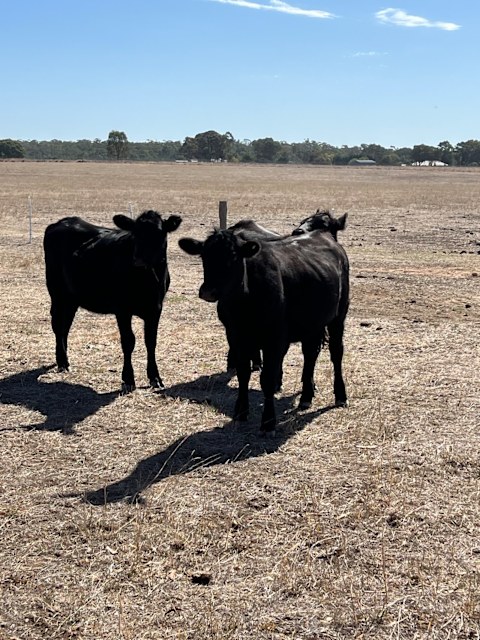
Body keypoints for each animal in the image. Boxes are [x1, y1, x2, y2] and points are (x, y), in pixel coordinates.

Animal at [43, 210, 182, 392]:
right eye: (135, 233)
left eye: (159, 233)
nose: (138, 260)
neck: (146, 280)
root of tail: (61, 222)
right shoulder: (122, 309)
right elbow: (128, 341)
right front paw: (128, 379)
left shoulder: (155, 308)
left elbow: (151, 341)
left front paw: (155, 378)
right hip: (57, 292)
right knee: (58, 325)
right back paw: (63, 362)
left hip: (72, 297)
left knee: (65, 326)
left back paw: (63, 359)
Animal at [179, 227, 349, 432]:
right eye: (203, 255)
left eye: (233, 256)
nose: (208, 291)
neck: (244, 304)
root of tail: (323, 234)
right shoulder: (235, 336)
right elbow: (243, 373)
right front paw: (241, 411)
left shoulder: (275, 339)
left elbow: (267, 379)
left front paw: (268, 421)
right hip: (312, 322)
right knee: (310, 355)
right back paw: (306, 397)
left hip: (339, 315)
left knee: (336, 353)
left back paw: (340, 395)